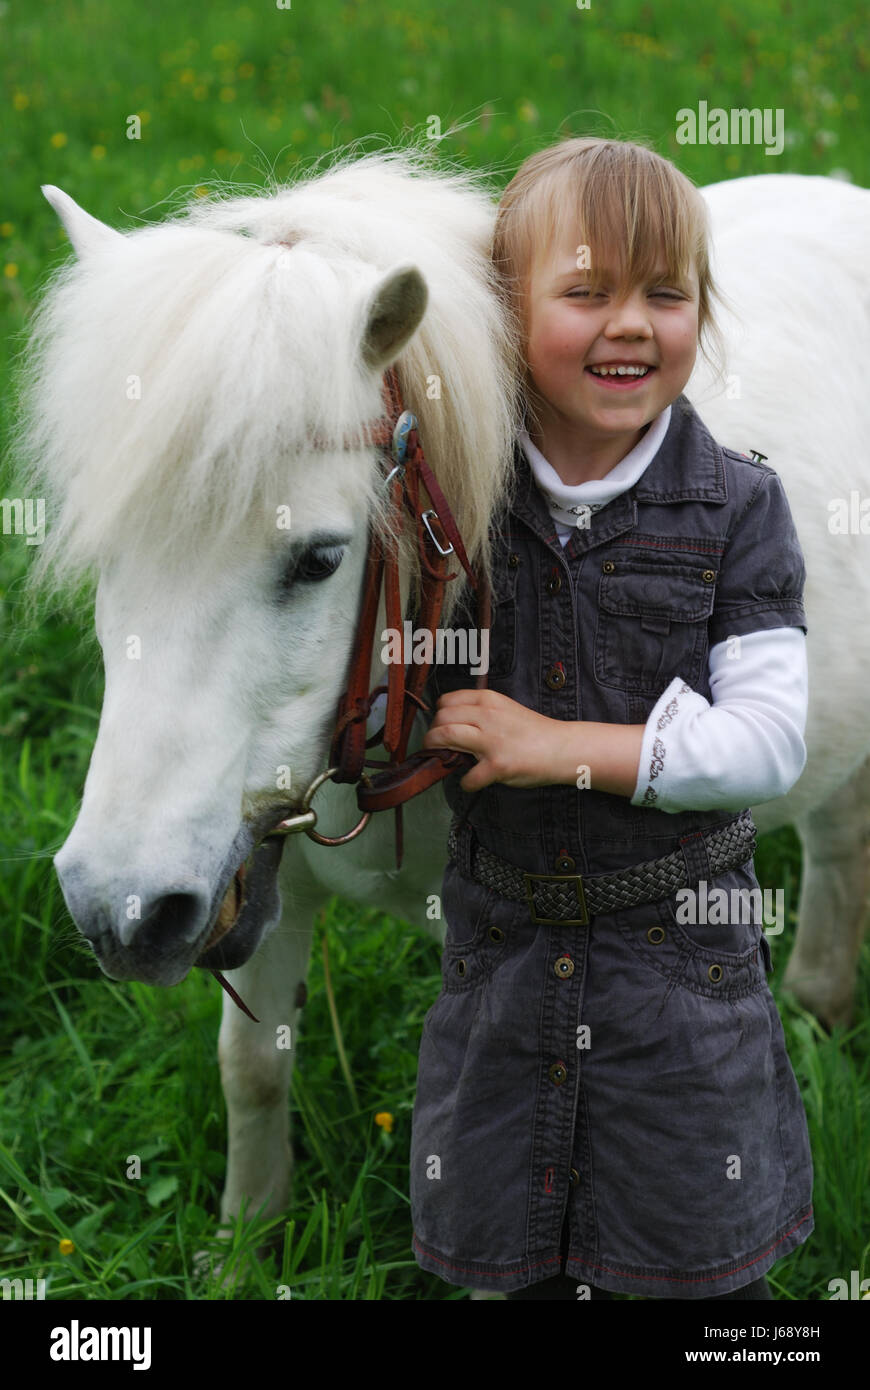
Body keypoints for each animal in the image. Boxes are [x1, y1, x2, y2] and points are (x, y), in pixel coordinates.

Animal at [14, 151, 870, 1252]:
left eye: (319, 559)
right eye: (106, 556)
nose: (120, 911)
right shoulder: (254, 863)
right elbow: (252, 1067)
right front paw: (247, 1246)